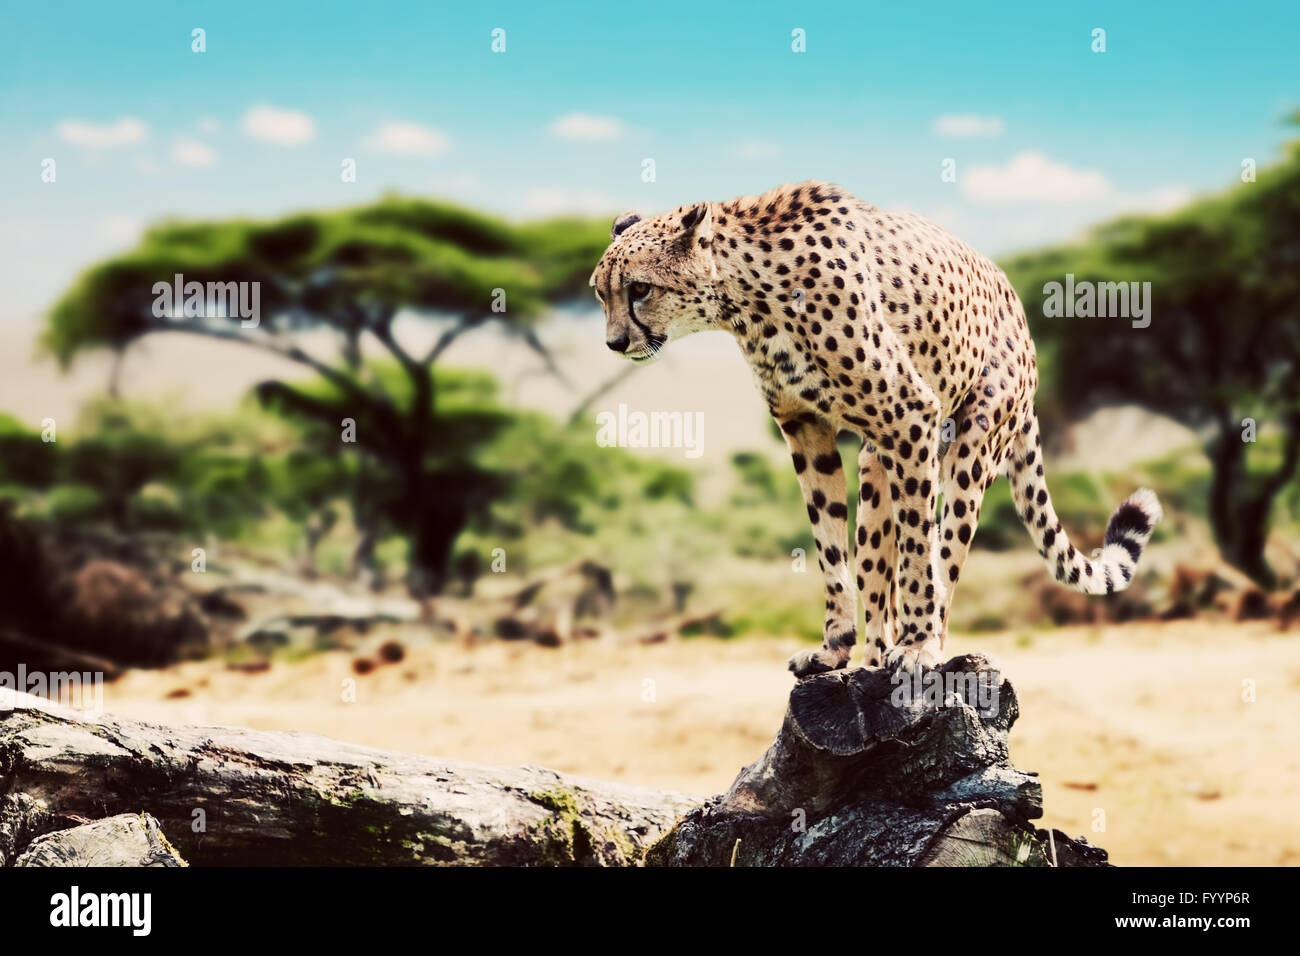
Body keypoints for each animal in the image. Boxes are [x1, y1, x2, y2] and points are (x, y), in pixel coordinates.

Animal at [588, 181, 1163, 678]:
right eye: (599, 294)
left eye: (639, 289)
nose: (614, 343)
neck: (748, 299)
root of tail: (1018, 306)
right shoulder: (805, 427)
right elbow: (830, 545)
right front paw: (834, 648)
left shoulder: (911, 414)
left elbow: (918, 552)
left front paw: (917, 647)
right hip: (875, 460)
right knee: (875, 555)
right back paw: (875, 654)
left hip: (971, 444)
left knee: (945, 552)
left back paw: (927, 643)